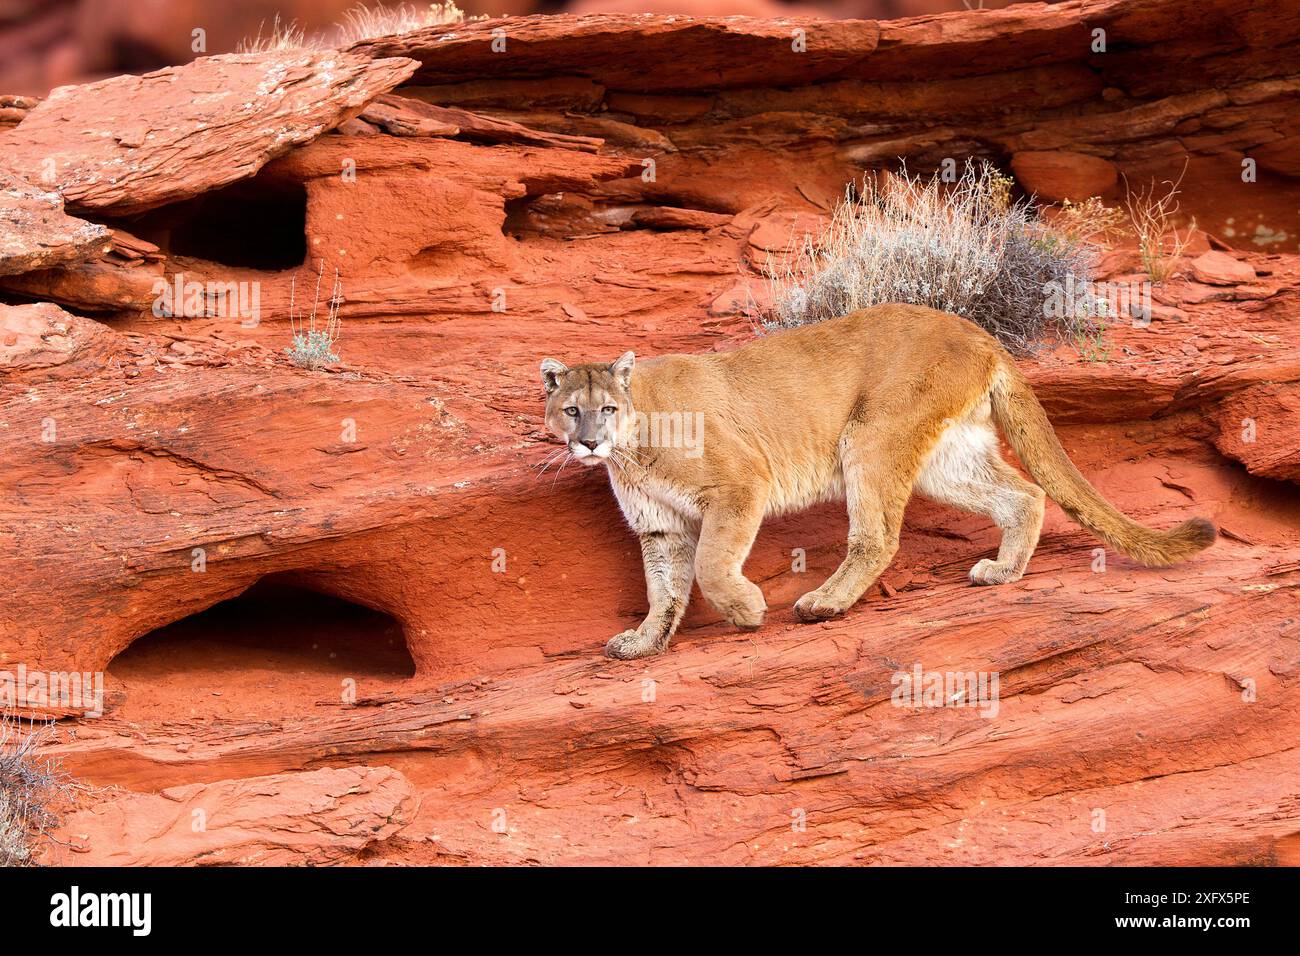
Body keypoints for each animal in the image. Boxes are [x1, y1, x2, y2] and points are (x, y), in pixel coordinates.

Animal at [540, 303, 1216, 659]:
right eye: (572, 410)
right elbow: (664, 588)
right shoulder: (659, 528)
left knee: (878, 537)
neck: (632, 448)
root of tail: (976, 330)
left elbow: (709, 564)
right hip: (946, 458)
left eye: (606, 408)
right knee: (1024, 493)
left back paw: (824, 603)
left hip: (869, 439)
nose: (589, 442)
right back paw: (1003, 571)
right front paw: (644, 642)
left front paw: (747, 610)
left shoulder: (738, 484)